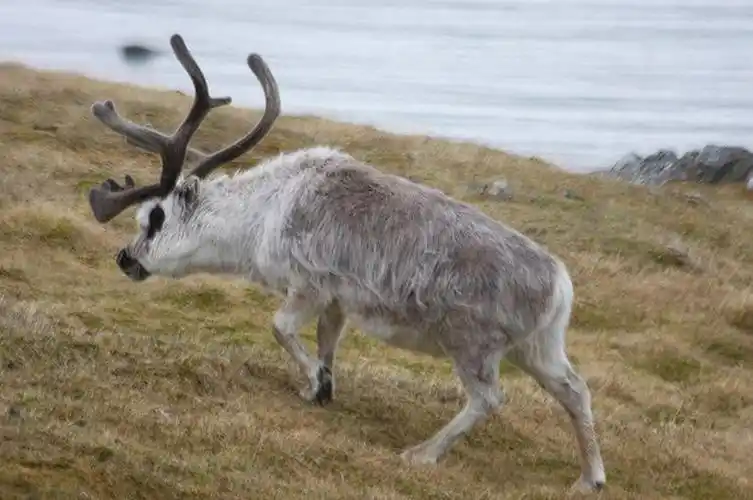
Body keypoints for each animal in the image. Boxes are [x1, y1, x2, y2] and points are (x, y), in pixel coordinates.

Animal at [85, 33, 606, 493]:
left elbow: (280, 327)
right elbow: (326, 342)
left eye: (153, 217)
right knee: (575, 389)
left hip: (473, 346)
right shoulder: (337, 303)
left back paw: (422, 454)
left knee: (490, 398)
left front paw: (315, 382)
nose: (125, 258)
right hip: (538, 348)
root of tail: (560, 285)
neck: (262, 213)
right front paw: (321, 388)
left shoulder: (308, 287)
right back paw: (590, 478)